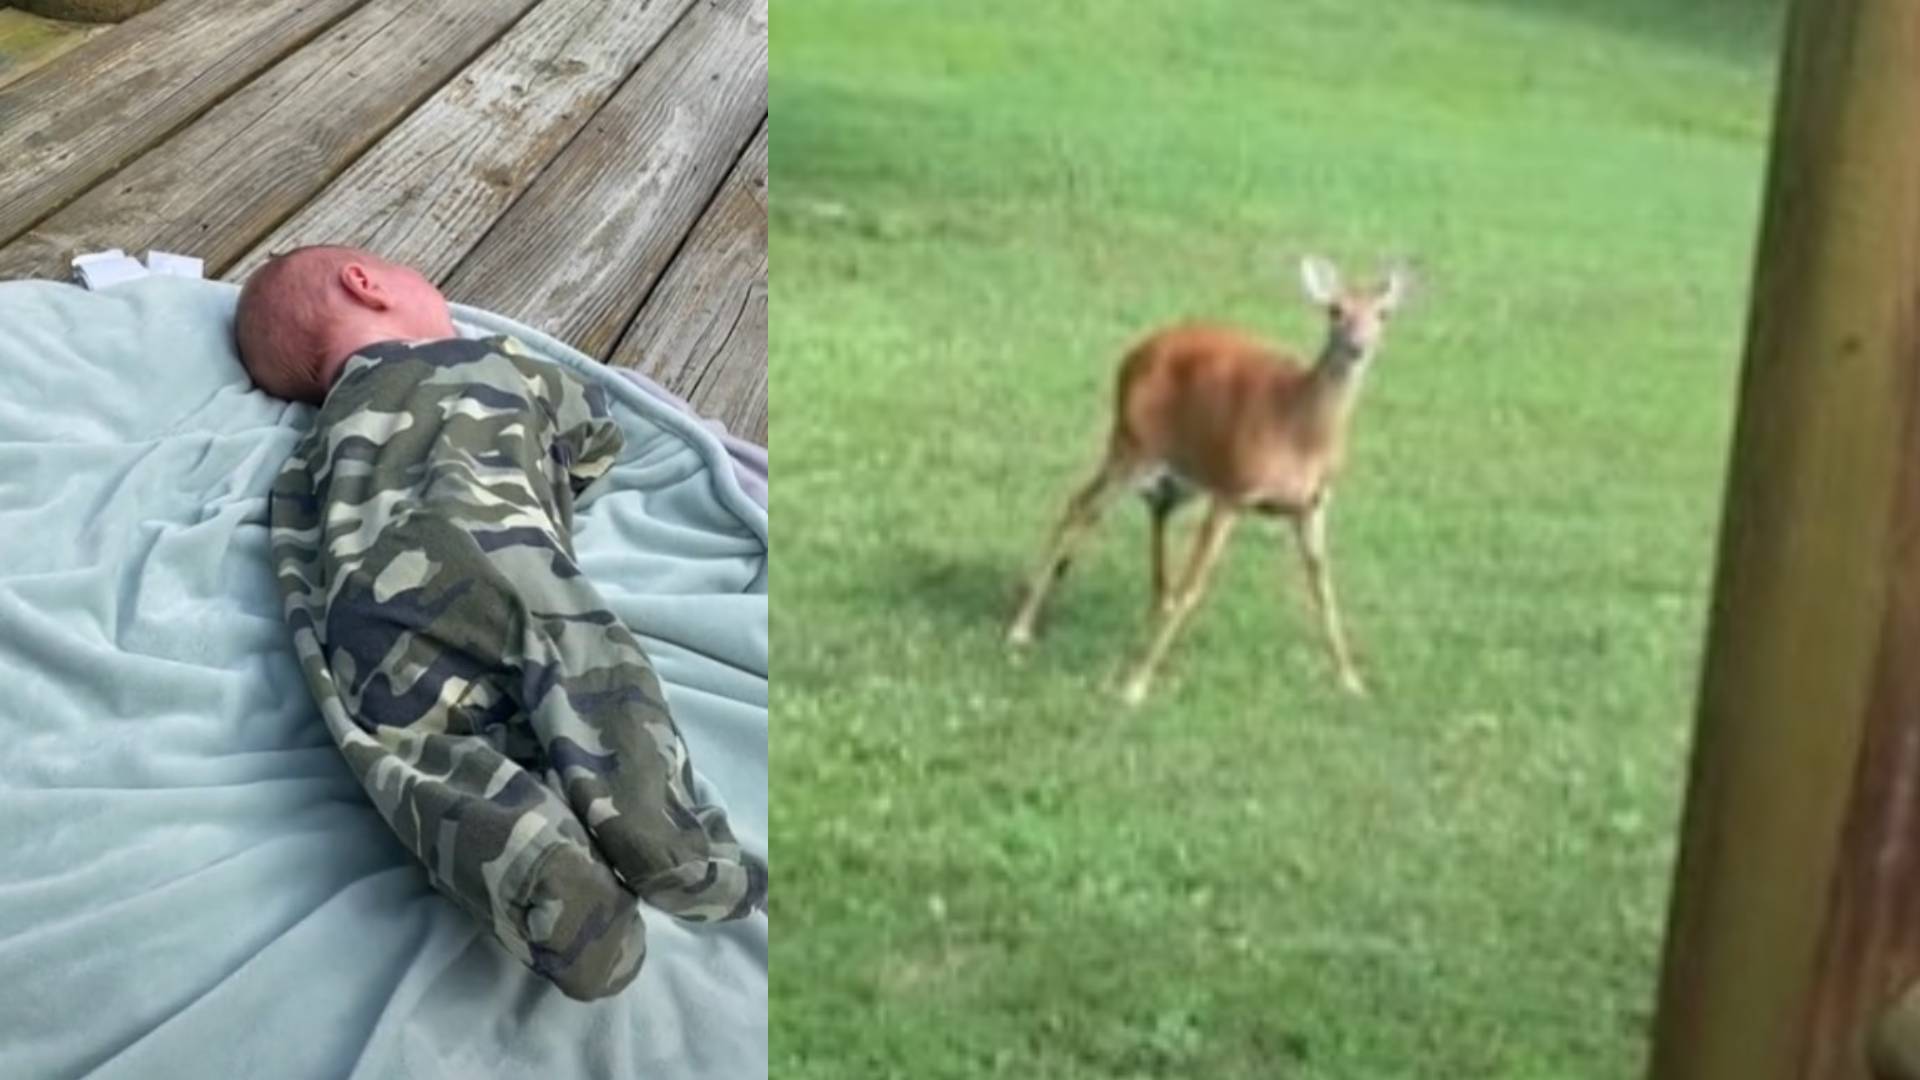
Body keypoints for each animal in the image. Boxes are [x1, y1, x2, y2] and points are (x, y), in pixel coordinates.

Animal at [1004, 255, 1409, 705]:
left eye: (1383, 314)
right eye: (1335, 310)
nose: (1358, 347)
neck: (1298, 433)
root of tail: (1131, 356)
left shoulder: (1312, 503)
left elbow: (1323, 589)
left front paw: (1352, 682)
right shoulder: (1233, 490)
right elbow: (1194, 587)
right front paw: (1135, 686)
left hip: (1182, 468)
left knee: (1151, 508)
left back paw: (1153, 607)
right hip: (1132, 443)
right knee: (1081, 507)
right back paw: (1020, 629)